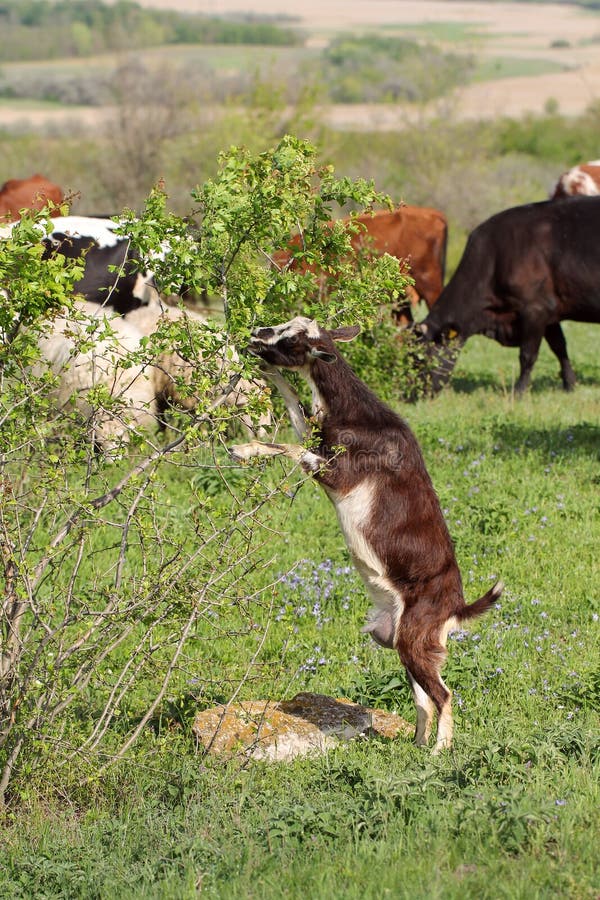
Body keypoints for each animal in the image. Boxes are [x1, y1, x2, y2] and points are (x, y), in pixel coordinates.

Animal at [229, 316, 503, 752]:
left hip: (415, 640)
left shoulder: (338, 473)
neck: (356, 414)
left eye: (291, 341)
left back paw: (439, 751)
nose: (255, 335)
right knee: (424, 699)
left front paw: (242, 449)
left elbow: (292, 447)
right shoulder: (316, 435)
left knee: (444, 695)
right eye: (283, 325)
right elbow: (295, 411)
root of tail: (456, 607)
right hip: (402, 642)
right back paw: (416, 745)